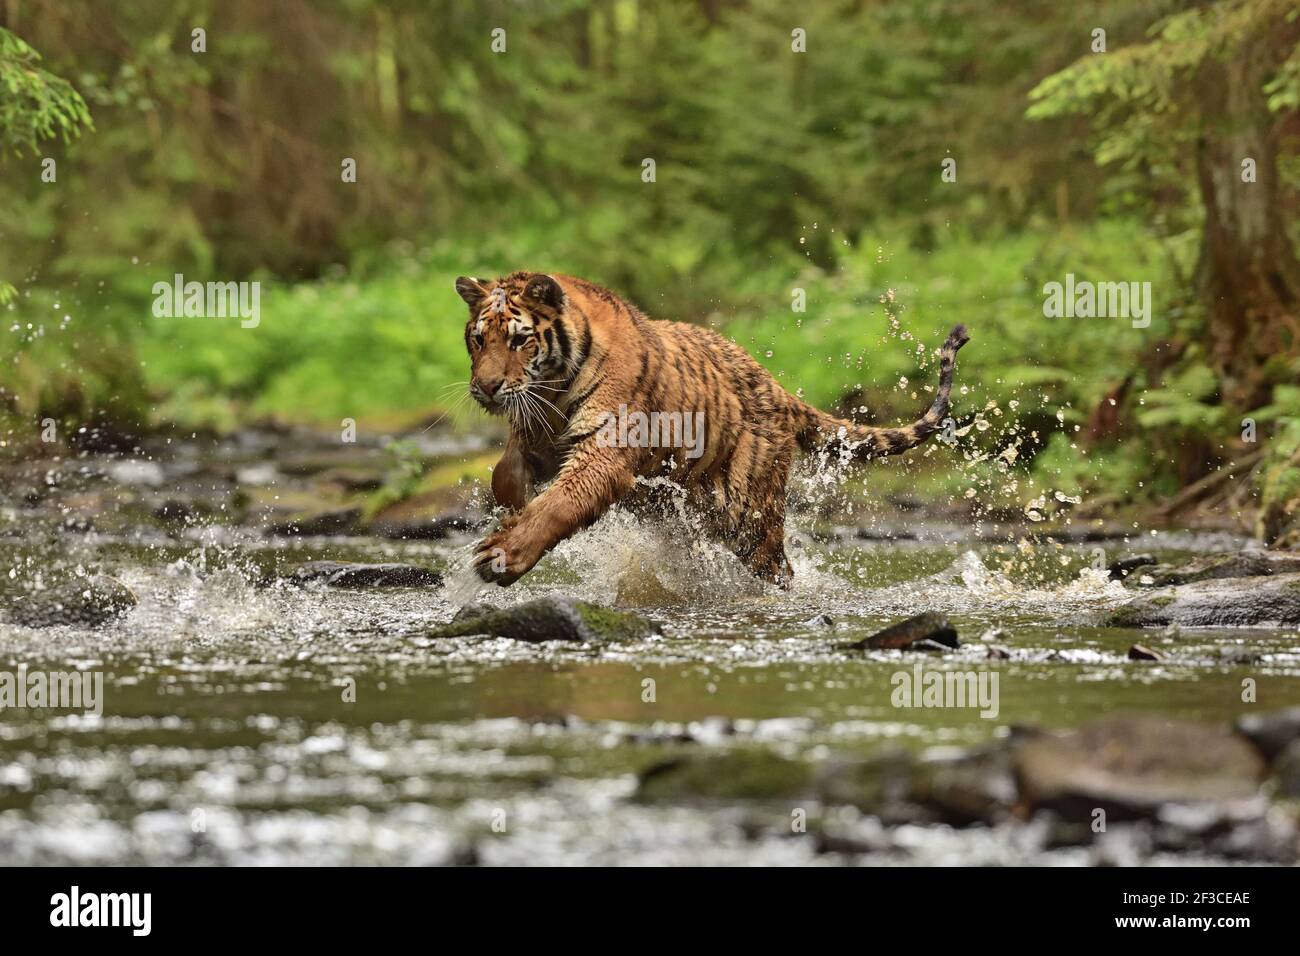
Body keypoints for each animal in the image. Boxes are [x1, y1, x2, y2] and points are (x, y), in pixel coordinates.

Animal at [454, 271, 969, 587]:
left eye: (519, 341)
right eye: (478, 340)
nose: (486, 387)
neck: (552, 391)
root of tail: (778, 389)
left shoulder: (604, 450)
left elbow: (560, 503)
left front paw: (503, 553)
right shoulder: (535, 437)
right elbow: (505, 474)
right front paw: (511, 508)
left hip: (751, 517)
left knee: (778, 567)